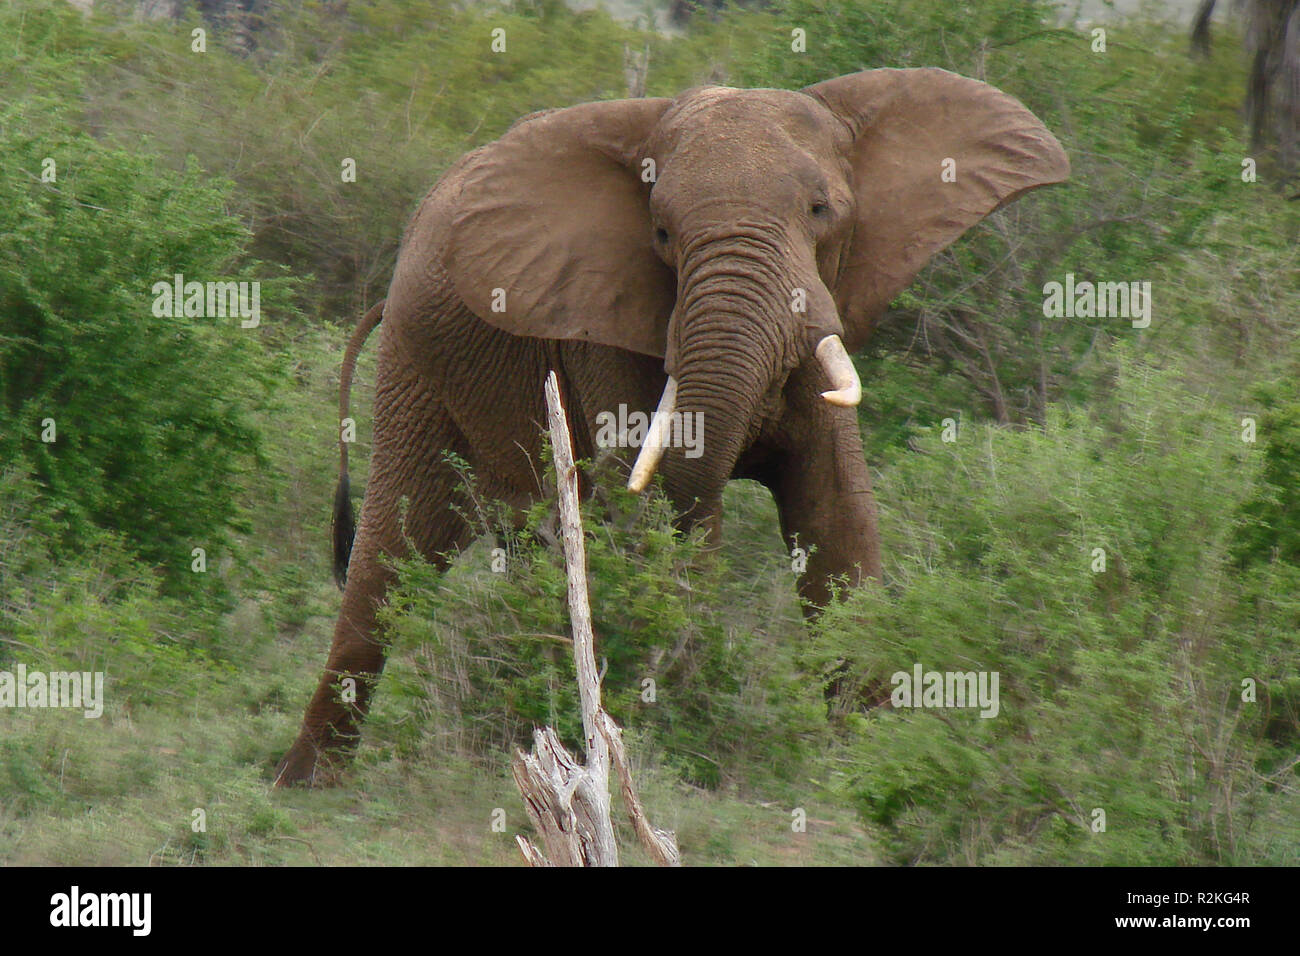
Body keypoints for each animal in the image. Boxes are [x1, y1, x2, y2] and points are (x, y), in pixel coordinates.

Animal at [274, 67, 1069, 787]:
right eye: (661, 234)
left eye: (821, 210)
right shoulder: (601, 320)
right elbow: (668, 513)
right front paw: (677, 753)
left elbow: (836, 518)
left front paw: (867, 767)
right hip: (418, 363)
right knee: (393, 553)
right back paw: (307, 785)